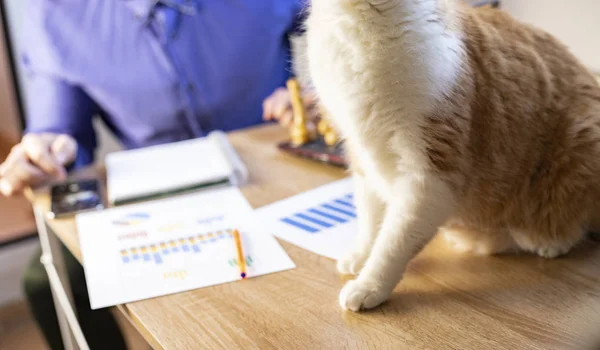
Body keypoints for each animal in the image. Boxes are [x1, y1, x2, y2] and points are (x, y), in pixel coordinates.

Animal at [296, 0, 600, 312]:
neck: (360, 25)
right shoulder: (361, 155)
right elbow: (370, 220)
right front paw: (360, 255)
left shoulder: (429, 176)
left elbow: (393, 242)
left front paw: (370, 285)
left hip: (581, 146)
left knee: (568, 223)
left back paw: (546, 241)